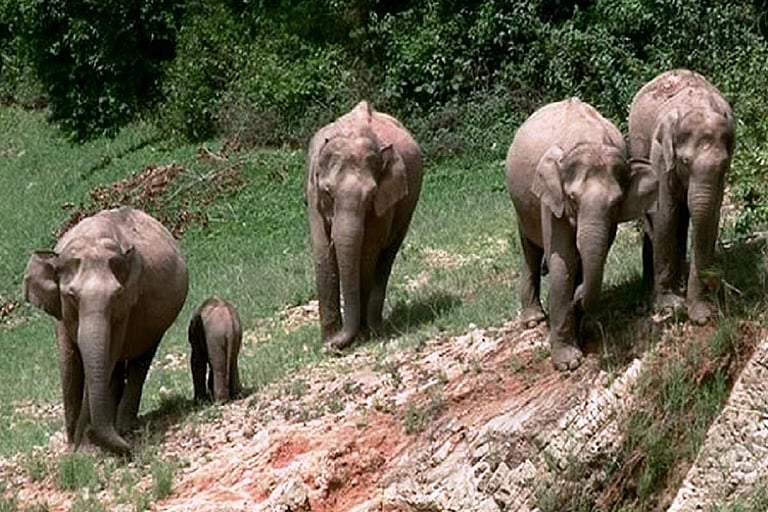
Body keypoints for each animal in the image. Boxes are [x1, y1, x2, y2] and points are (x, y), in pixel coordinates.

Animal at [23, 206, 188, 454]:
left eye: (116, 294)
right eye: (71, 296)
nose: (129, 450)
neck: (92, 239)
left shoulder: (127, 305)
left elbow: (110, 353)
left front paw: (85, 445)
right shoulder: (60, 314)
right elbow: (69, 360)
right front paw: (74, 447)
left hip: (158, 325)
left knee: (140, 362)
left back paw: (124, 426)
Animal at [306, 100, 423, 351]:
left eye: (370, 197)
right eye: (328, 192)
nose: (334, 344)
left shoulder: (385, 200)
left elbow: (368, 252)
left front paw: (356, 337)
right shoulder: (312, 194)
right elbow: (322, 251)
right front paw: (328, 341)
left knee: (386, 258)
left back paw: (374, 328)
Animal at [506, 98, 657, 370]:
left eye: (616, 202)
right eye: (573, 198)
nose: (577, 298)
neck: (589, 140)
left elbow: (588, 255)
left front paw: (579, 332)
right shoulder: (551, 200)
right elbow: (563, 259)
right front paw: (568, 363)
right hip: (521, 204)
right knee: (529, 249)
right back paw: (533, 320)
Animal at [628, 69, 735, 325]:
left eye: (724, 164)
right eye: (685, 161)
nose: (715, 279)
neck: (699, 106)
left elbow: (710, 219)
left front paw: (701, 312)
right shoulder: (660, 155)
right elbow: (665, 215)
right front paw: (670, 304)